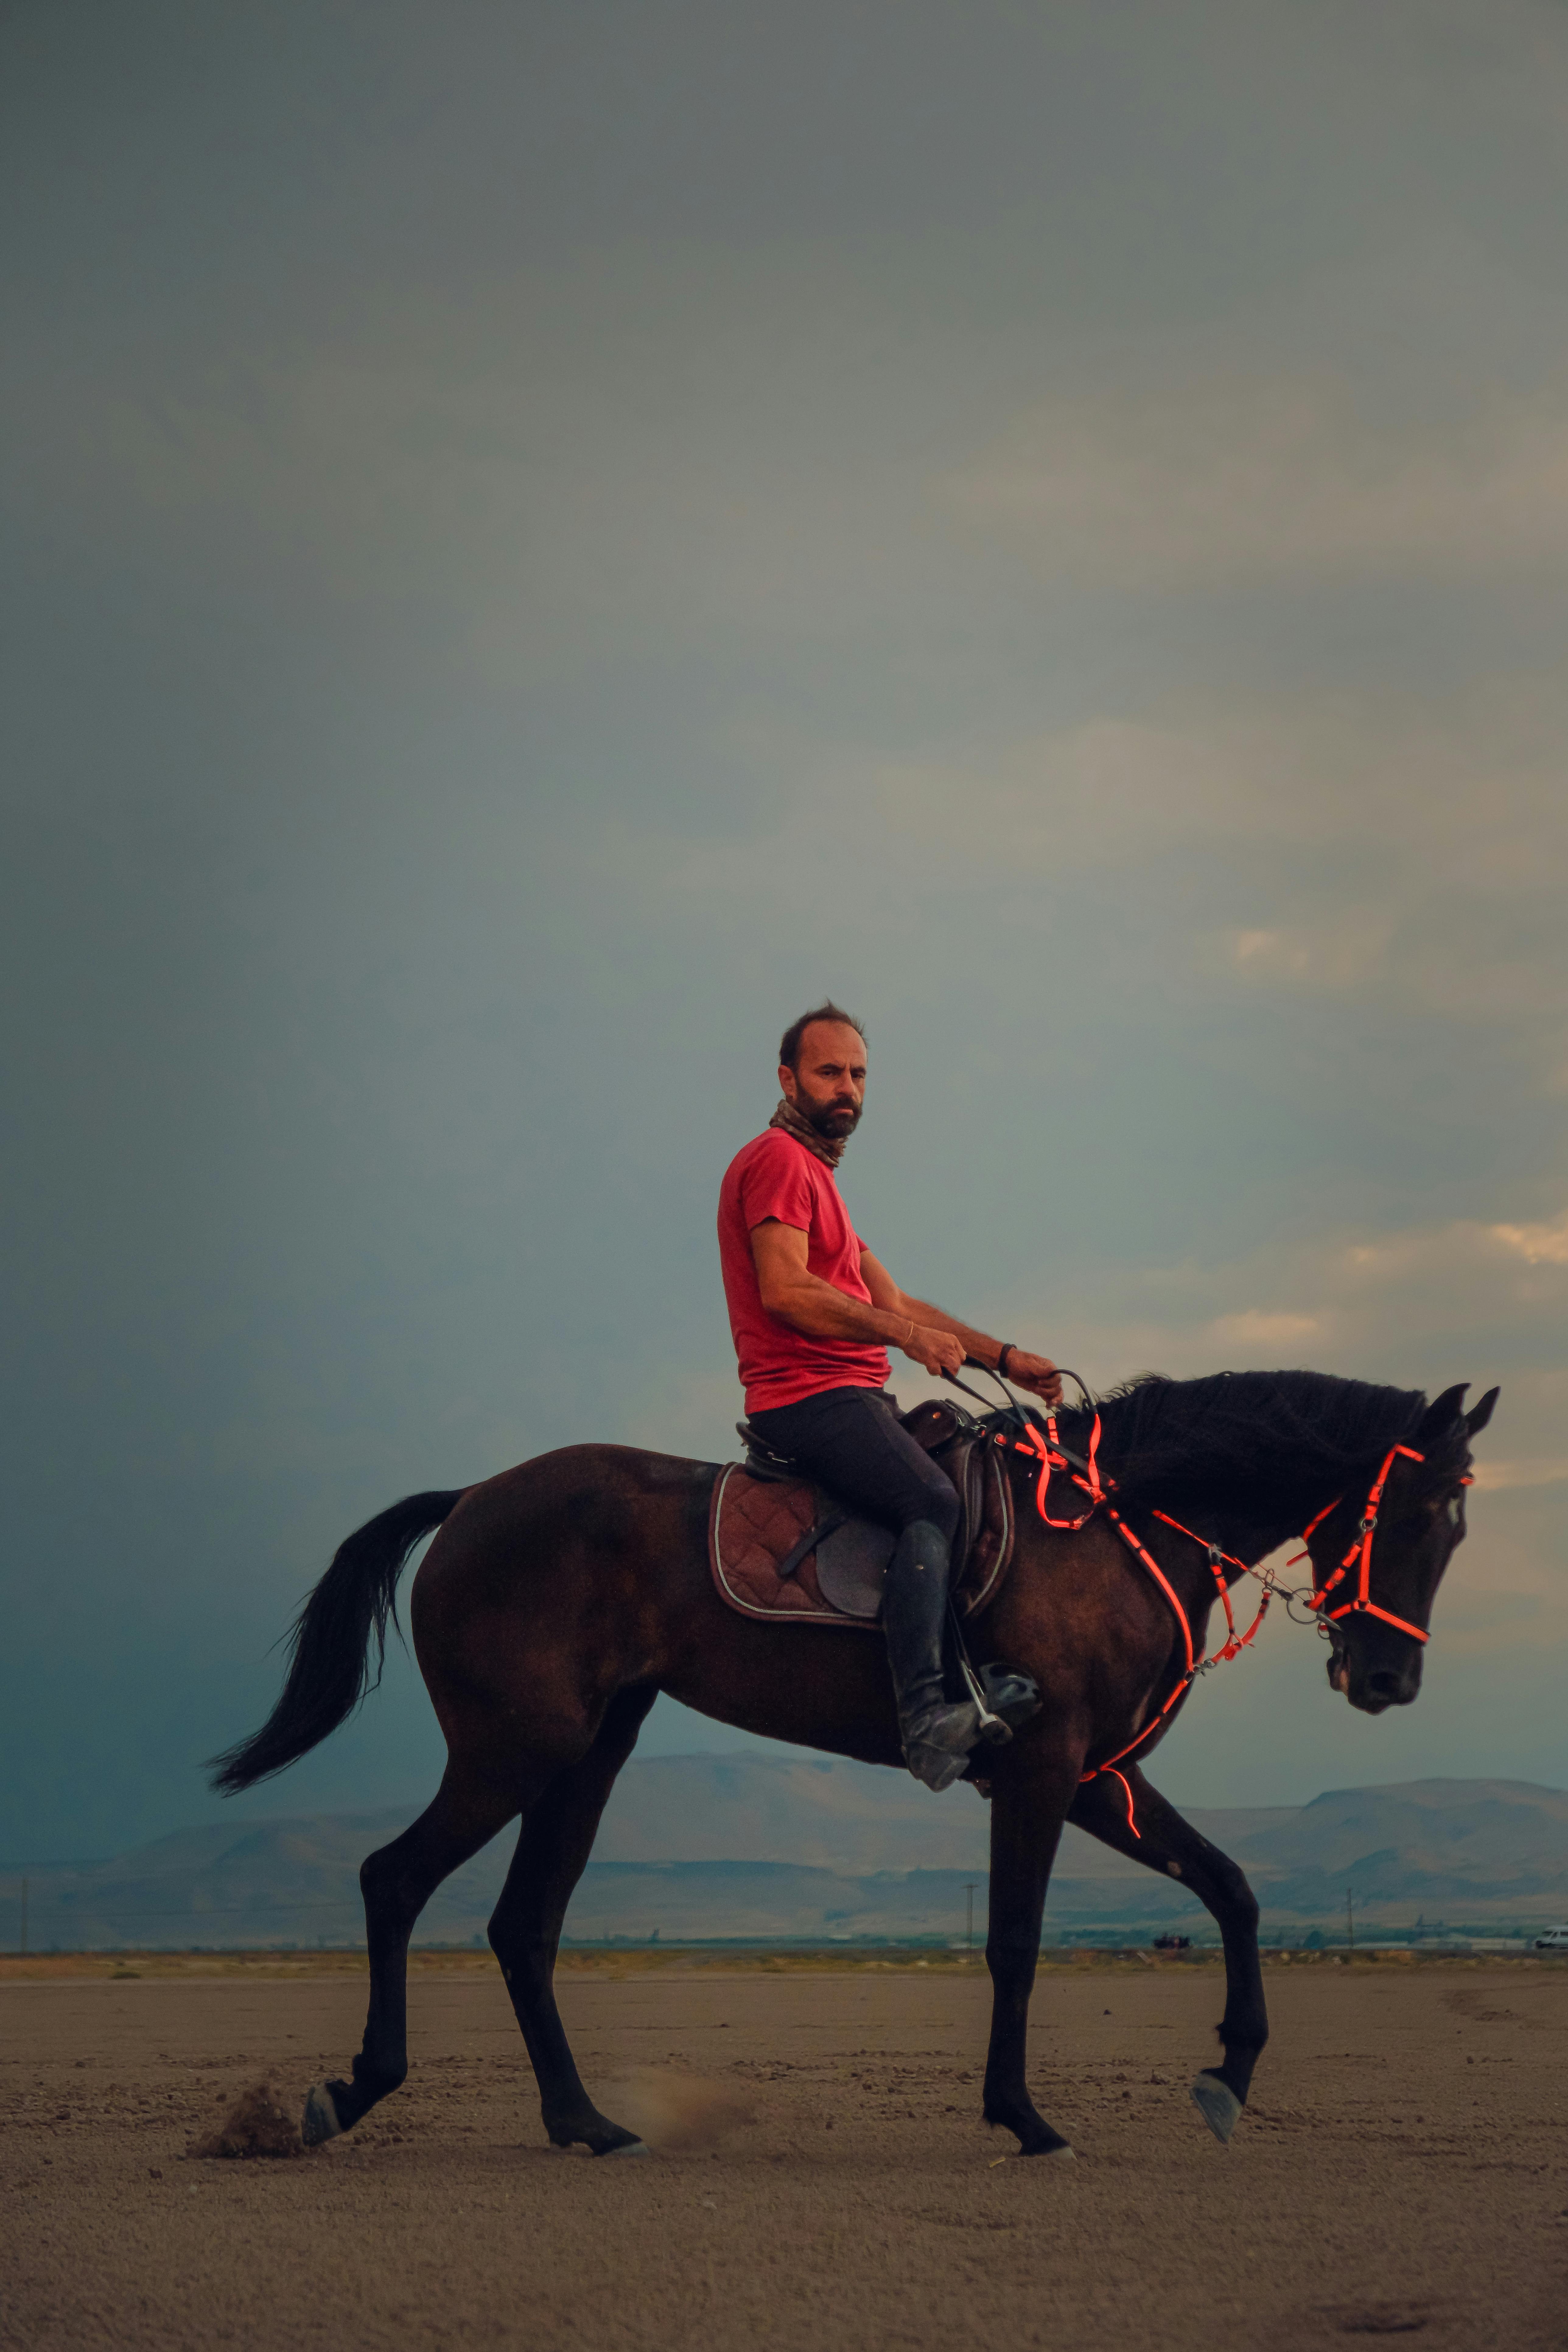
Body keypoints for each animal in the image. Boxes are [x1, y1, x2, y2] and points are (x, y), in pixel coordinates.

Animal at [210, 1367, 1497, 2161]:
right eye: (1415, 1514)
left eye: (1456, 1525)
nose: (1388, 1678)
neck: (1112, 1528)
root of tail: (473, 1498)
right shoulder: (1044, 1766)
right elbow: (1016, 1938)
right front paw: (1023, 2115)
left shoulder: (1100, 1775)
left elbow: (1232, 1887)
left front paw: (1229, 2071)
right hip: (513, 1748)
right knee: (394, 1878)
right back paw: (353, 2088)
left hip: (586, 1753)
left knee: (523, 1924)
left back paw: (584, 2120)